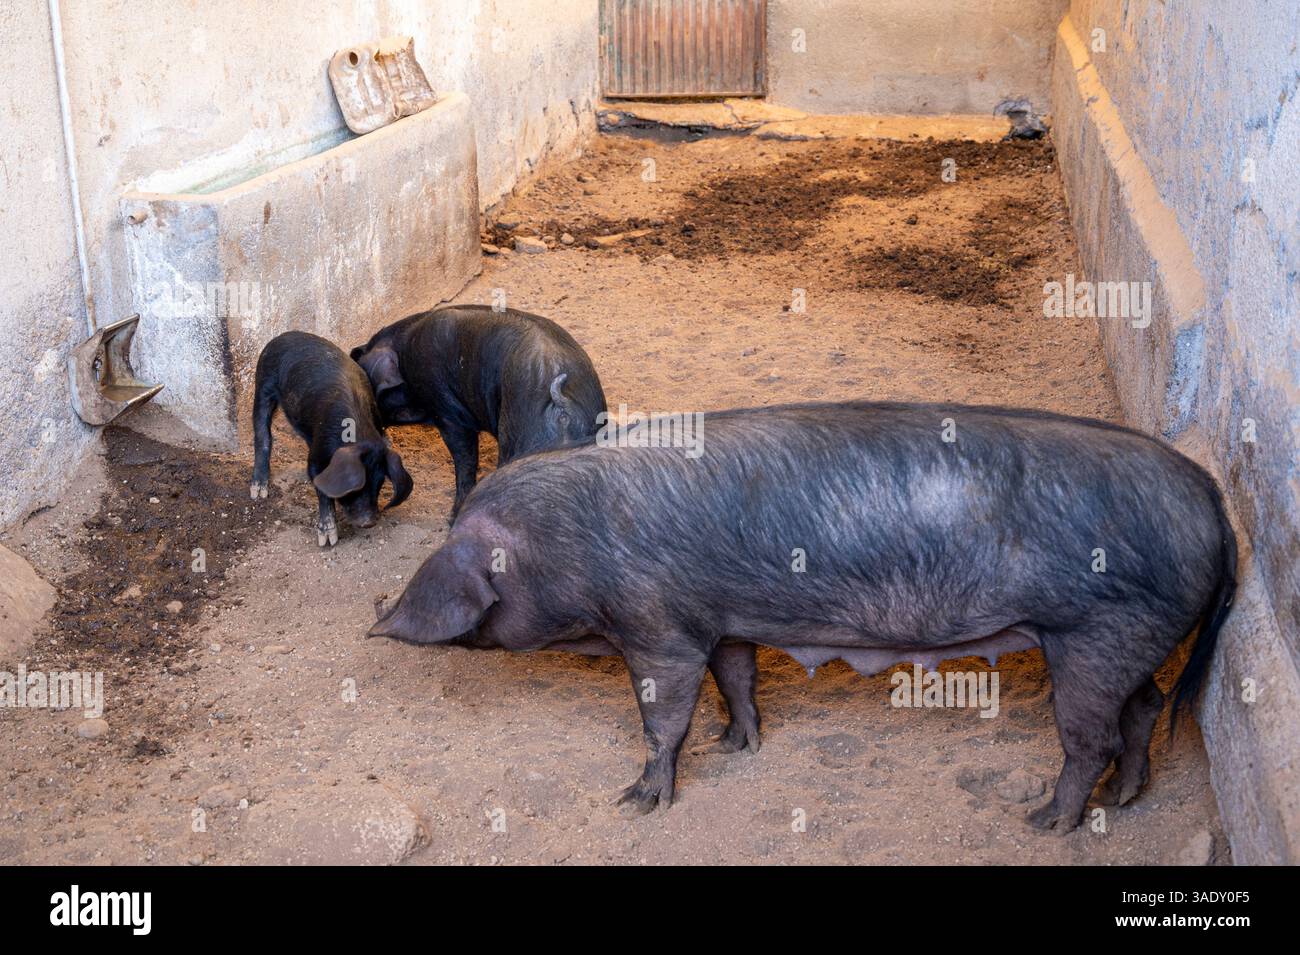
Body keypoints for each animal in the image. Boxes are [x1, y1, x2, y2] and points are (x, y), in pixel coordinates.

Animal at [250, 331, 413, 546]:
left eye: (379, 483)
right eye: (353, 488)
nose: (368, 523)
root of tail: (285, 335)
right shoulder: (317, 454)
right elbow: (321, 487)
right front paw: (328, 540)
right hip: (262, 382)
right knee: (263, 435)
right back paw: (258, 492)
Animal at [367, 401, 1236, 830]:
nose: (378, 615)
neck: (568, 547)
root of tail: (1214, 500)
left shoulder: (658, 626)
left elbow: (664, 716)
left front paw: (638, 803)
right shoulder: (721, 618)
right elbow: (738, 678)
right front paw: (738, 744)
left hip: (1097, 633)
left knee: (1089, 738)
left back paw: (1043, 822)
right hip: (1125, 638)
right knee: (1146, 705)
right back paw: (1128, 800)